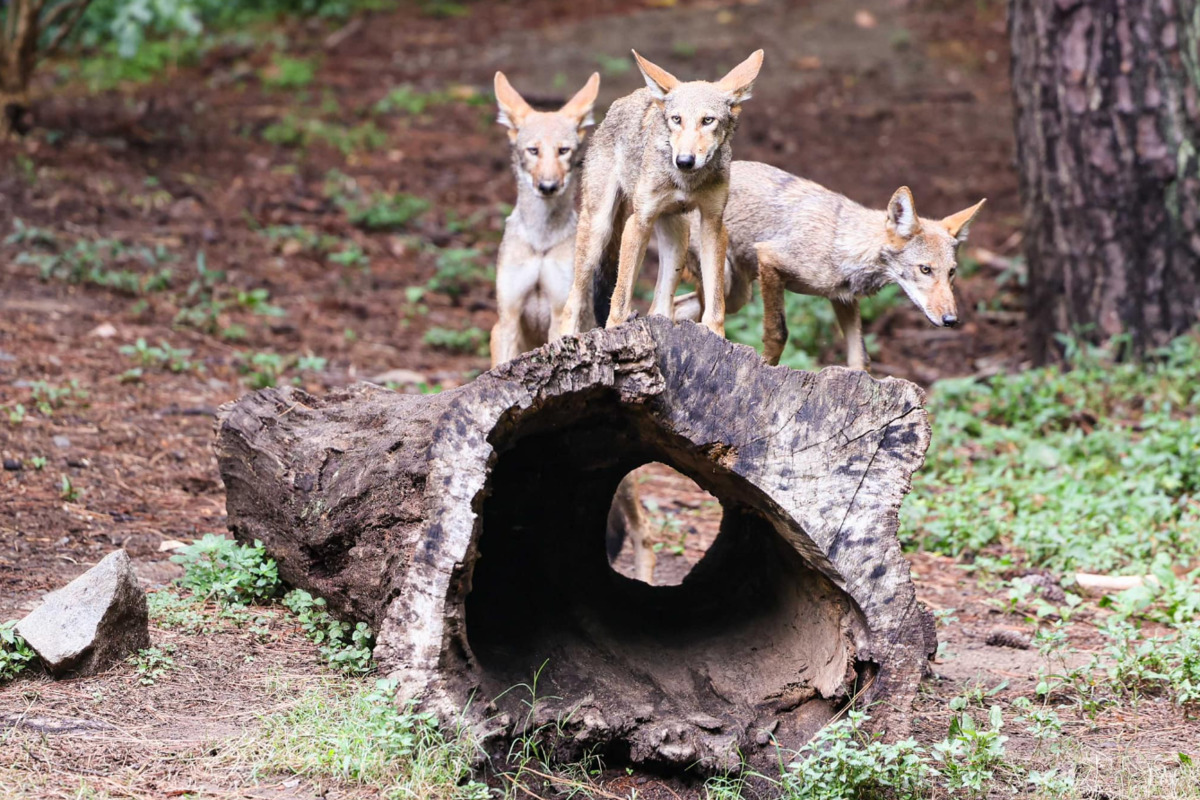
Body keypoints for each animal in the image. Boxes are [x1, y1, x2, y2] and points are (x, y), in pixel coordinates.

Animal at [557, 49, 764, 338]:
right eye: (676, 119)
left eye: (708, 120)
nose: (684, 160)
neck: (686, 182)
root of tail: (624, 99)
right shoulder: (639, 222)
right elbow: (620, 296)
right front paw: (616, 329)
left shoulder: (713, 224)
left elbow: (715, 299)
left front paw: (715, 334)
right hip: (598, 231)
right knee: (572, 301)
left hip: (678, 237)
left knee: (661, 306)